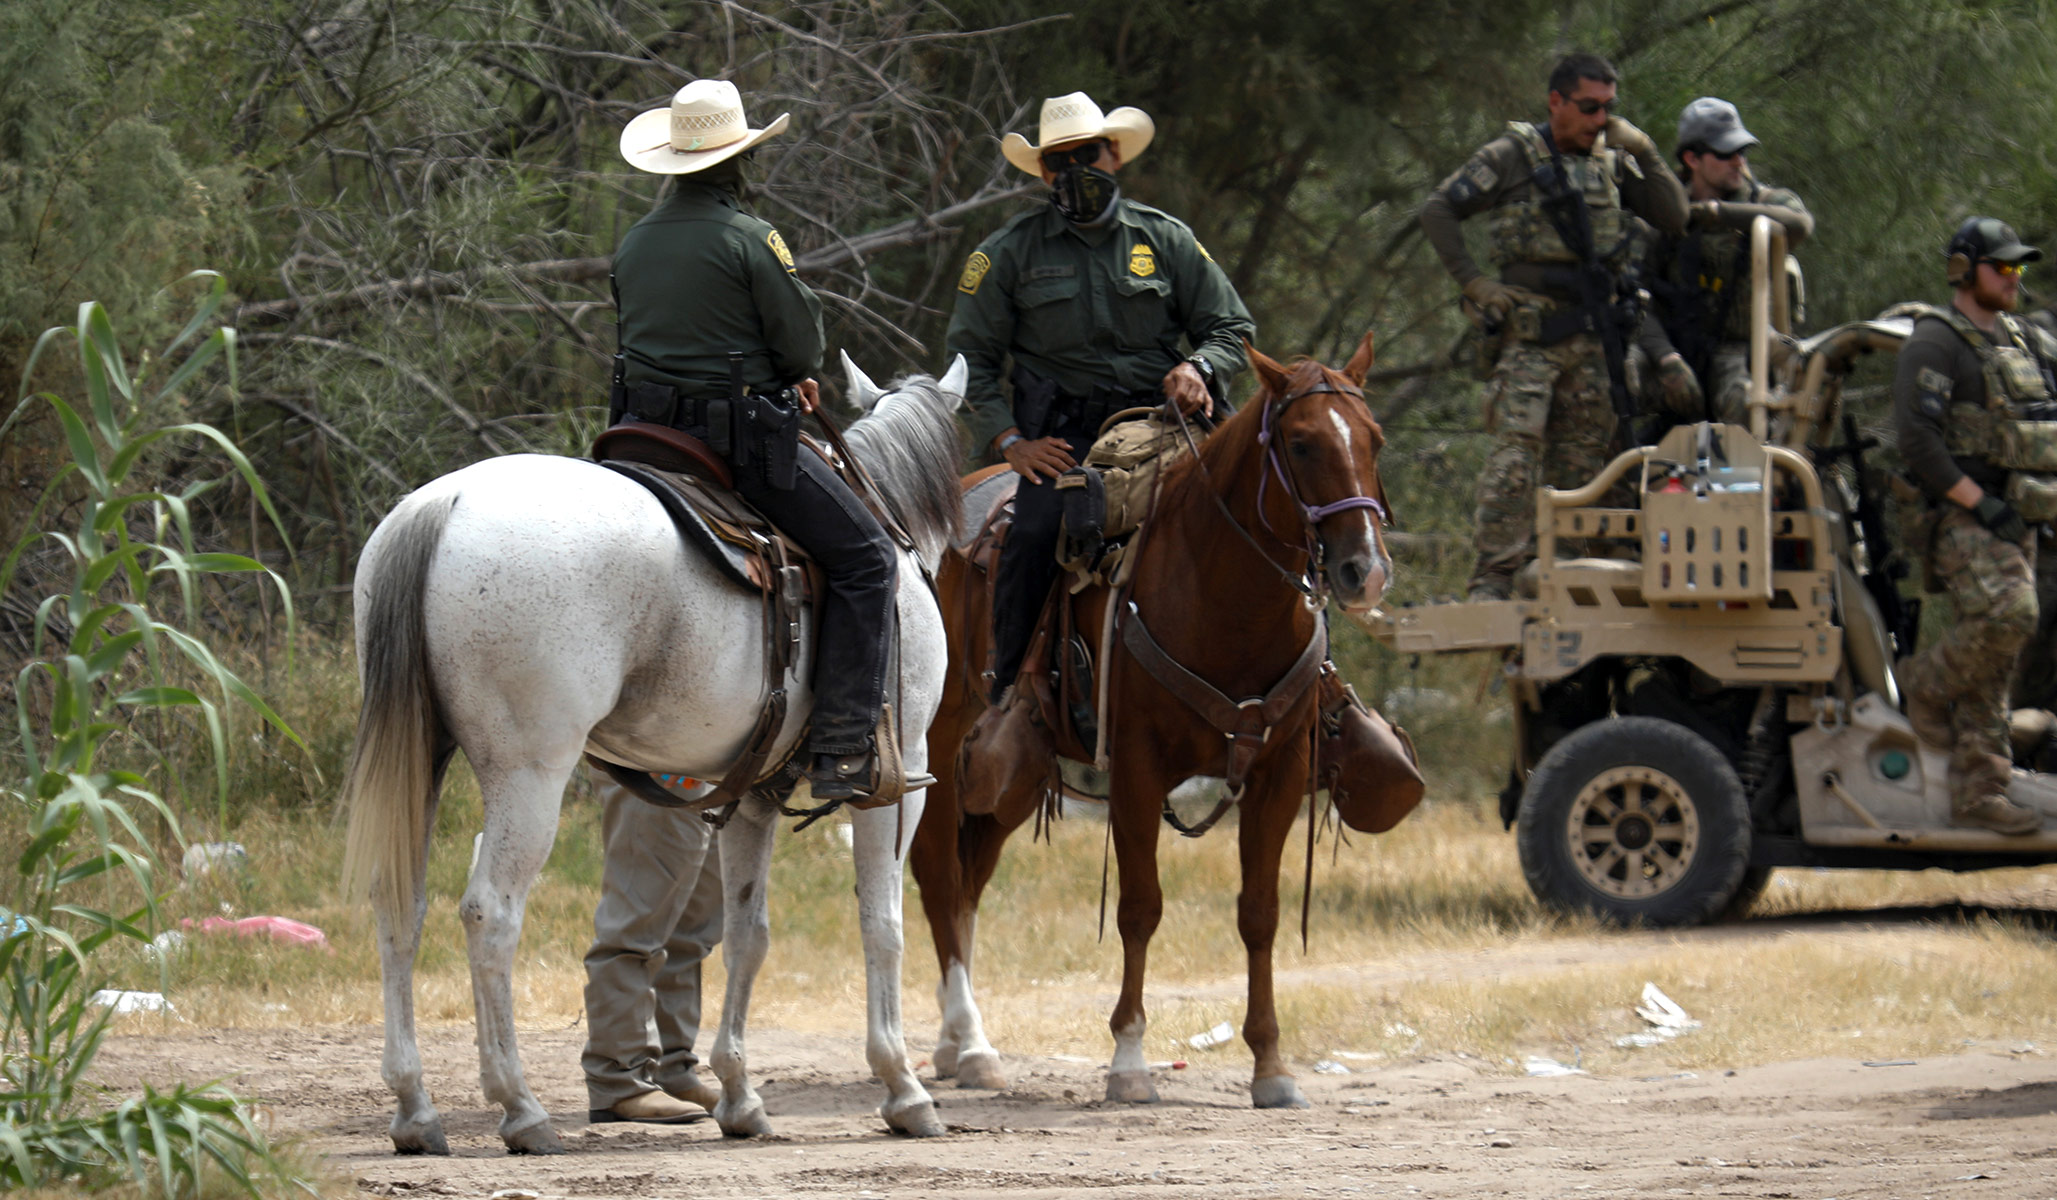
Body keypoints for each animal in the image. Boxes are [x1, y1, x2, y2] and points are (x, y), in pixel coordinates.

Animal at [339, 354, 968, 1154]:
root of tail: (442, 505)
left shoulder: (750, 798)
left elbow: (747, 935)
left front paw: (740, 1097)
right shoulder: (897, 779)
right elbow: (882, 925)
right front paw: (904, 1090)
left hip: (424, 759)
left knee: (400, 906)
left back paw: (415, 1110)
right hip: (528, 775)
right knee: (490, 914)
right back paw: (521, 1107)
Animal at [911, 334, 1393, 1107]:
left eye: (1372, 438)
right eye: (1301, 443)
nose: (1364, 571)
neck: (1224, 601)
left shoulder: (1278, 772)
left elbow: (1259, 912)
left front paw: (1271, 1065)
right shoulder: (1137, 771)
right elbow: (1140, 907)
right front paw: (1129, 1060)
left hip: (1011, 786)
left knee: (968, 880)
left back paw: (958, 1046)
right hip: (941, 745)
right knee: (936, 873)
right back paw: (973, 1042)